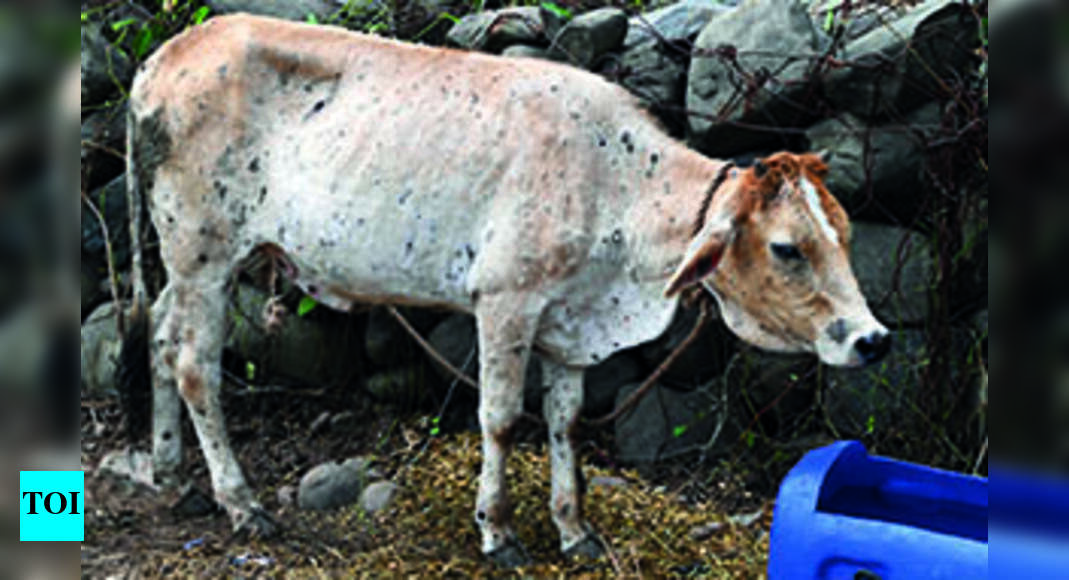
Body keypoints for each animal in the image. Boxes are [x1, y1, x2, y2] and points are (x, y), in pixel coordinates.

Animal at [121, 14, 890, 567]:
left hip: (191, 264)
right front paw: (498, 532)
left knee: (158, 336)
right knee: (194, 366)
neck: (614, 190)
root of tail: (165, 56)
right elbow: (499, 419)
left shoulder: (568, 327)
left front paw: (574, 530)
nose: (872, 340)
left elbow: (565, 423)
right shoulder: (505, 302)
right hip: (203, 253)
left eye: (845, 235)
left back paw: (173, 475)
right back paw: (241, 503)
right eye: (787, 248)